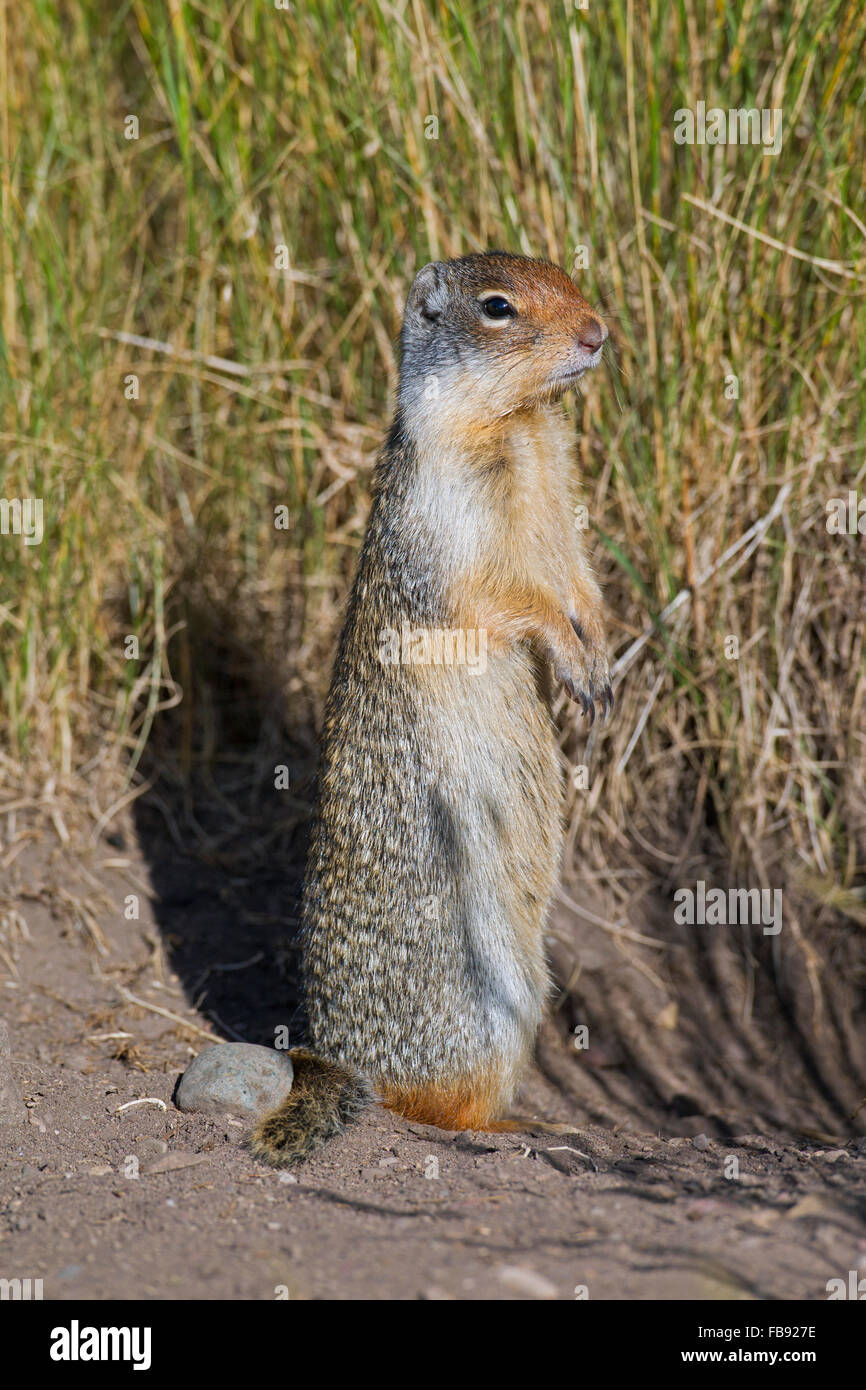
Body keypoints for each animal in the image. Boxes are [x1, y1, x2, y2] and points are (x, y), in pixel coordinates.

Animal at [250, 251, 611, 1167]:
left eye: (563, 272)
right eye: (498, 306)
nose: (598, 333)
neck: (518, 424)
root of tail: (339, 1057)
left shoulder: (562, 500)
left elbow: (580, 579)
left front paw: (599, 661)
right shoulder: (448, 525)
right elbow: (506, 597)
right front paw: (571, 656)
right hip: (483, 1004)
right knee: (440, 1109)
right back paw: (528, 1125)